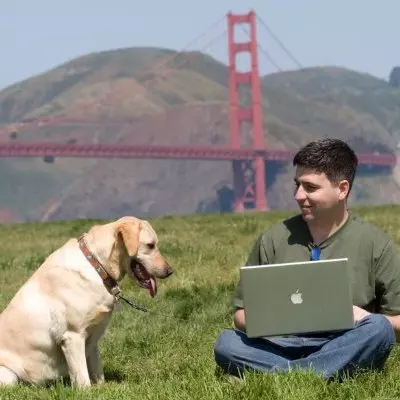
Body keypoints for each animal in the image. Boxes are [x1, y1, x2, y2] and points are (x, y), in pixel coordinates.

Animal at [0, 217, 172, 386]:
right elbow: (83, 380)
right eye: (150, 245)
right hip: (8, 376)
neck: (98, 266)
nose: (170, 271)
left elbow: (97, 372)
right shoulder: (73, 337)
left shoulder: (92, 339)